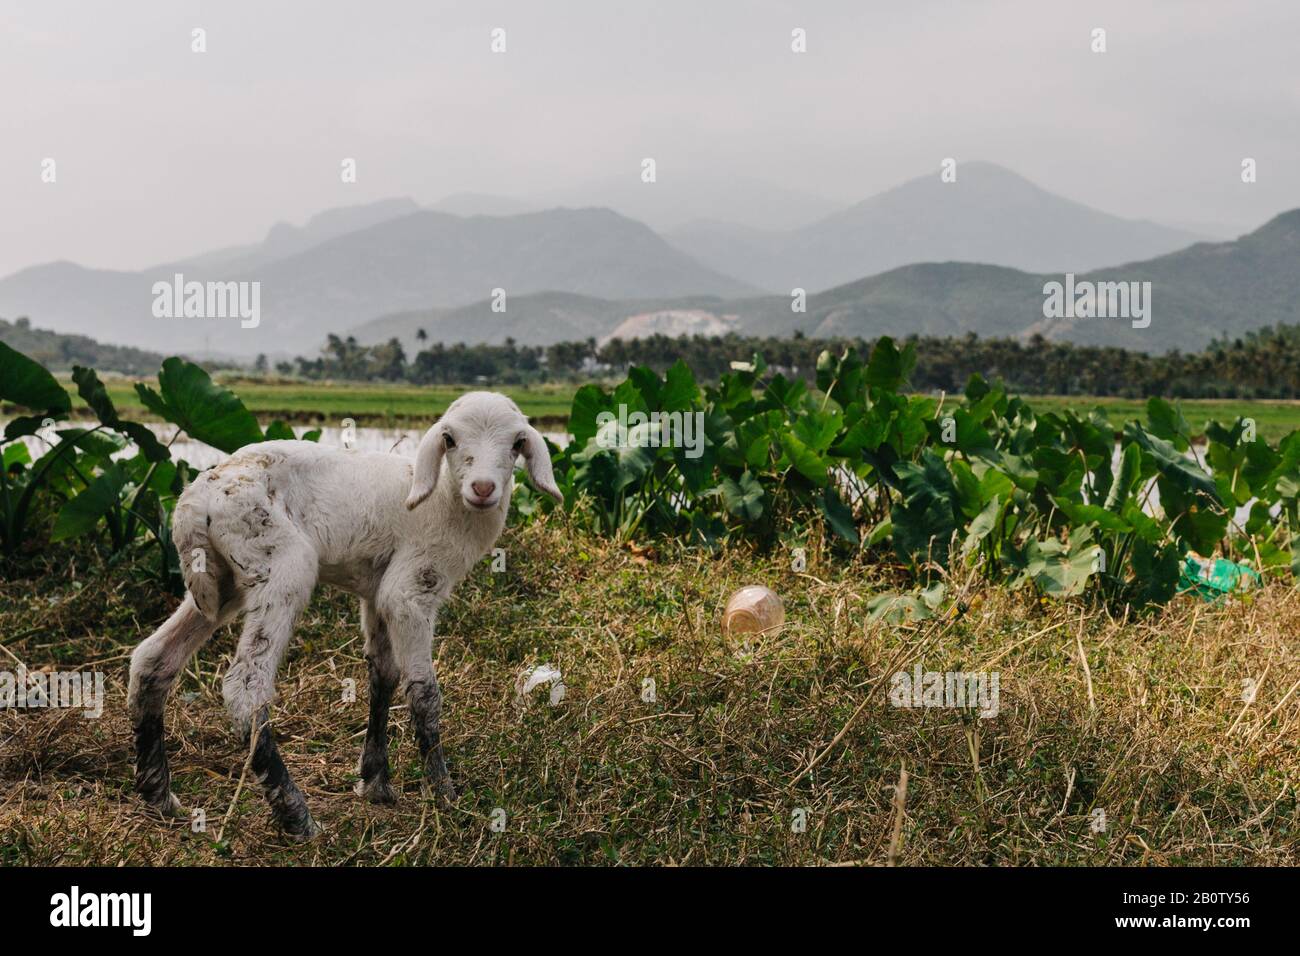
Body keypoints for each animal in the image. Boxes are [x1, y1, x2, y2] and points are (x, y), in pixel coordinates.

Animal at [126, 392, 562, 839]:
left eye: (517, 443)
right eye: (450, 439)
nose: (483, 488)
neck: (444, 499)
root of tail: (195, 499)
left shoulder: (377, 592)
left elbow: (383, 676)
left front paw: (375, 781)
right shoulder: (411, 589)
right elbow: (425, 694)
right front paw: (445, 796)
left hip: (219, 580)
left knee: (153, 659)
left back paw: (158, 793)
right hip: (277, 559)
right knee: (245, 688)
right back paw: (297, 817)